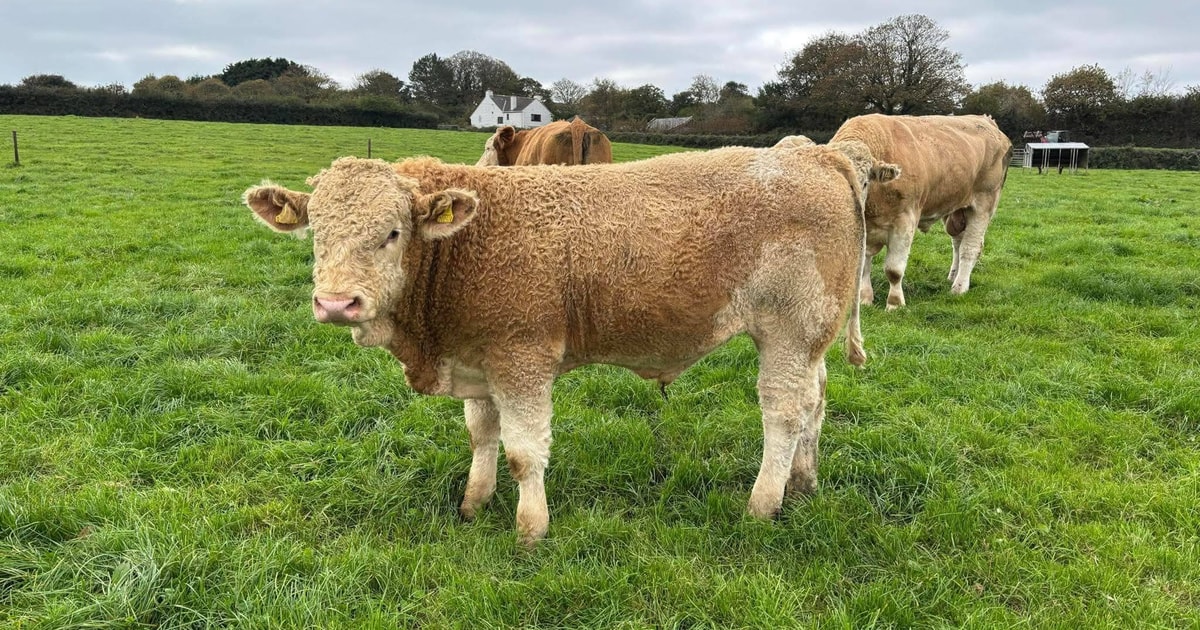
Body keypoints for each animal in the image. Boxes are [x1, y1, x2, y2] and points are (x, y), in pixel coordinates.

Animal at [243, 144, 898, 545]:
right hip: (810, 340)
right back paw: (803, 484)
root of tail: (816, 153)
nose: (336, 303)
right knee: (815, 403)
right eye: (317, 234)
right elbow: (482, 436)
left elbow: (523, 452)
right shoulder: (477, 359)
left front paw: (530, 529)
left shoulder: (522, 359)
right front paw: (473, 504)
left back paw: (764, 504)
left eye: (393, 233)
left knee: (784, 414)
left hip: (790, 329)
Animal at [830, 114, 1013, 309]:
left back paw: (959, 287)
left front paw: (895, 304)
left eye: (863, 182)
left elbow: (894, 270)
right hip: (956, 208)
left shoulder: (905, 221)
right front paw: (865, 298)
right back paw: (953, 276)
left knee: (970, 248)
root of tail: (986, 120)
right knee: (957, 242)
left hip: (984, 205)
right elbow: (864, 264)